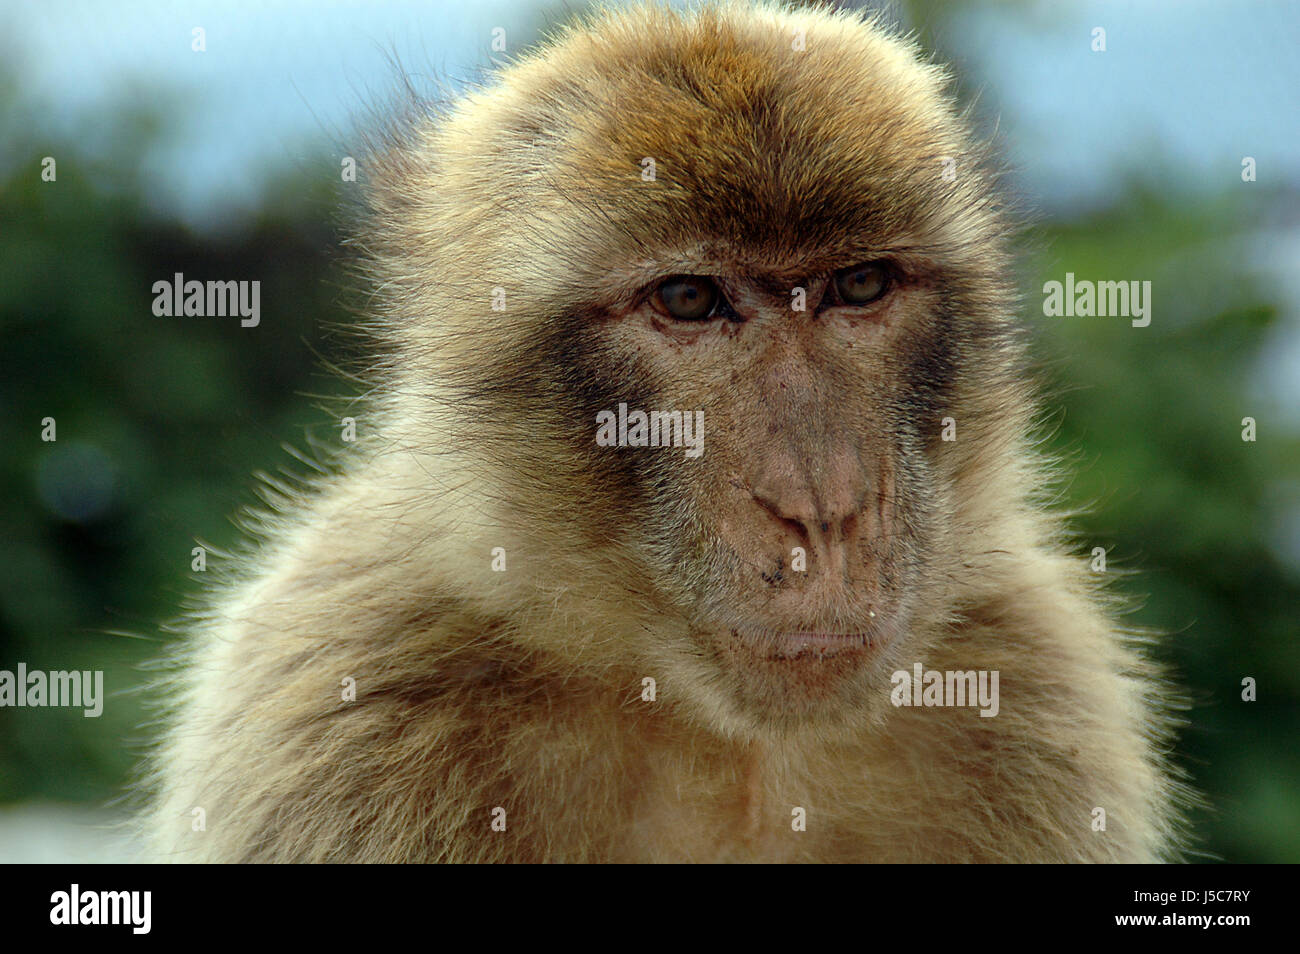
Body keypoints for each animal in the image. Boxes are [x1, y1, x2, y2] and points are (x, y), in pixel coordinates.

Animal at [139, 0, 1190, 862]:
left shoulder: (1039, 700)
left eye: (859, 285)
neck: (719, 734)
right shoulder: (340, 719)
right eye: (689, 299)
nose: (825, 509)